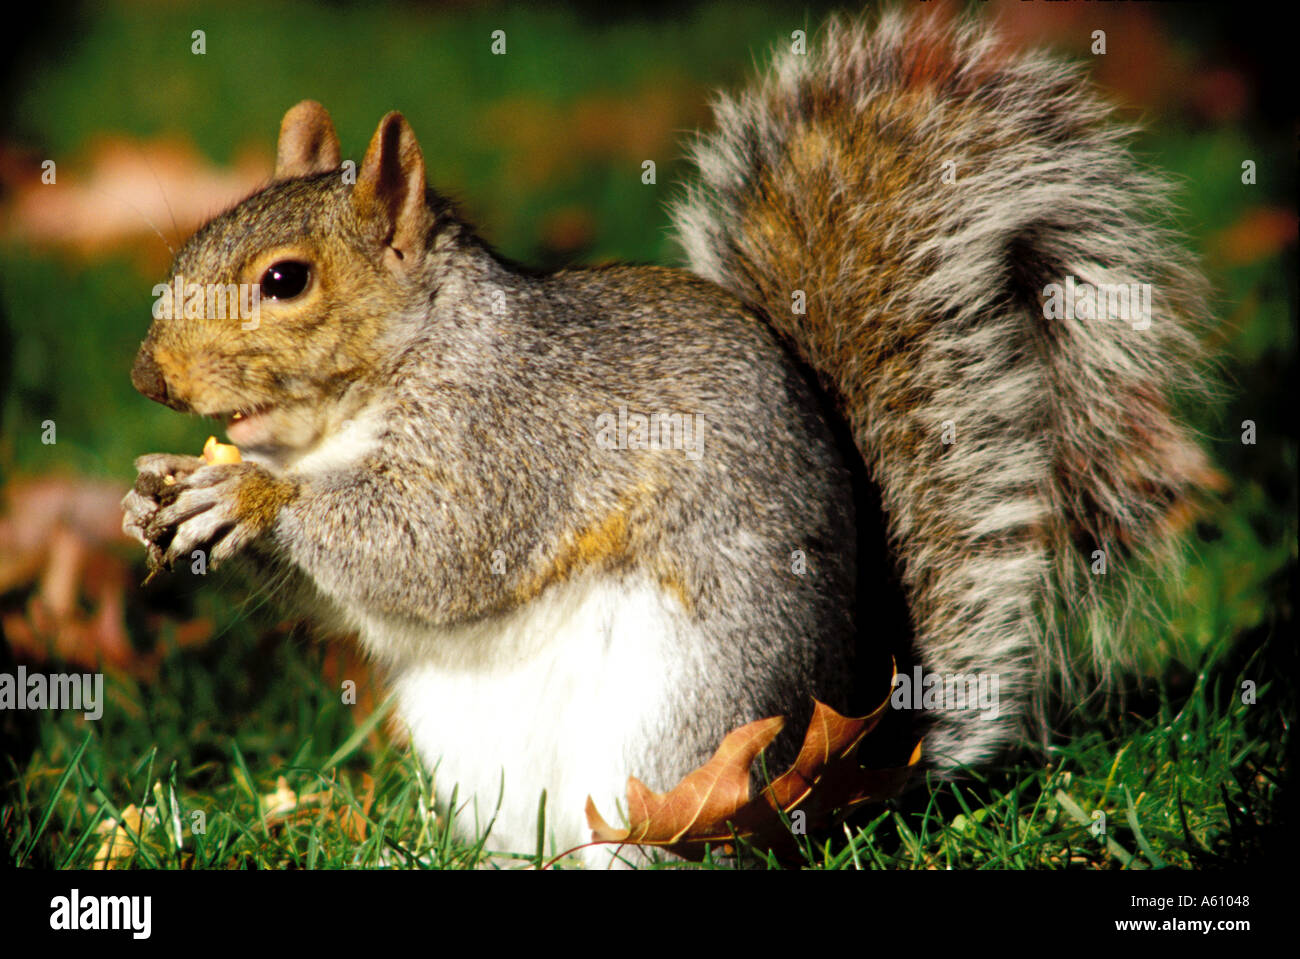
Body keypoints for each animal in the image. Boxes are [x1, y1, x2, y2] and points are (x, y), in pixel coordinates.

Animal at [121, 8, 1213, 865]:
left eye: (285, 280)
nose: (146, 377)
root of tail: (841, 770)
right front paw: (154, 492)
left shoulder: (508, 432)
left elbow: (436, 545)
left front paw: (250, 495)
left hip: (673, 729)